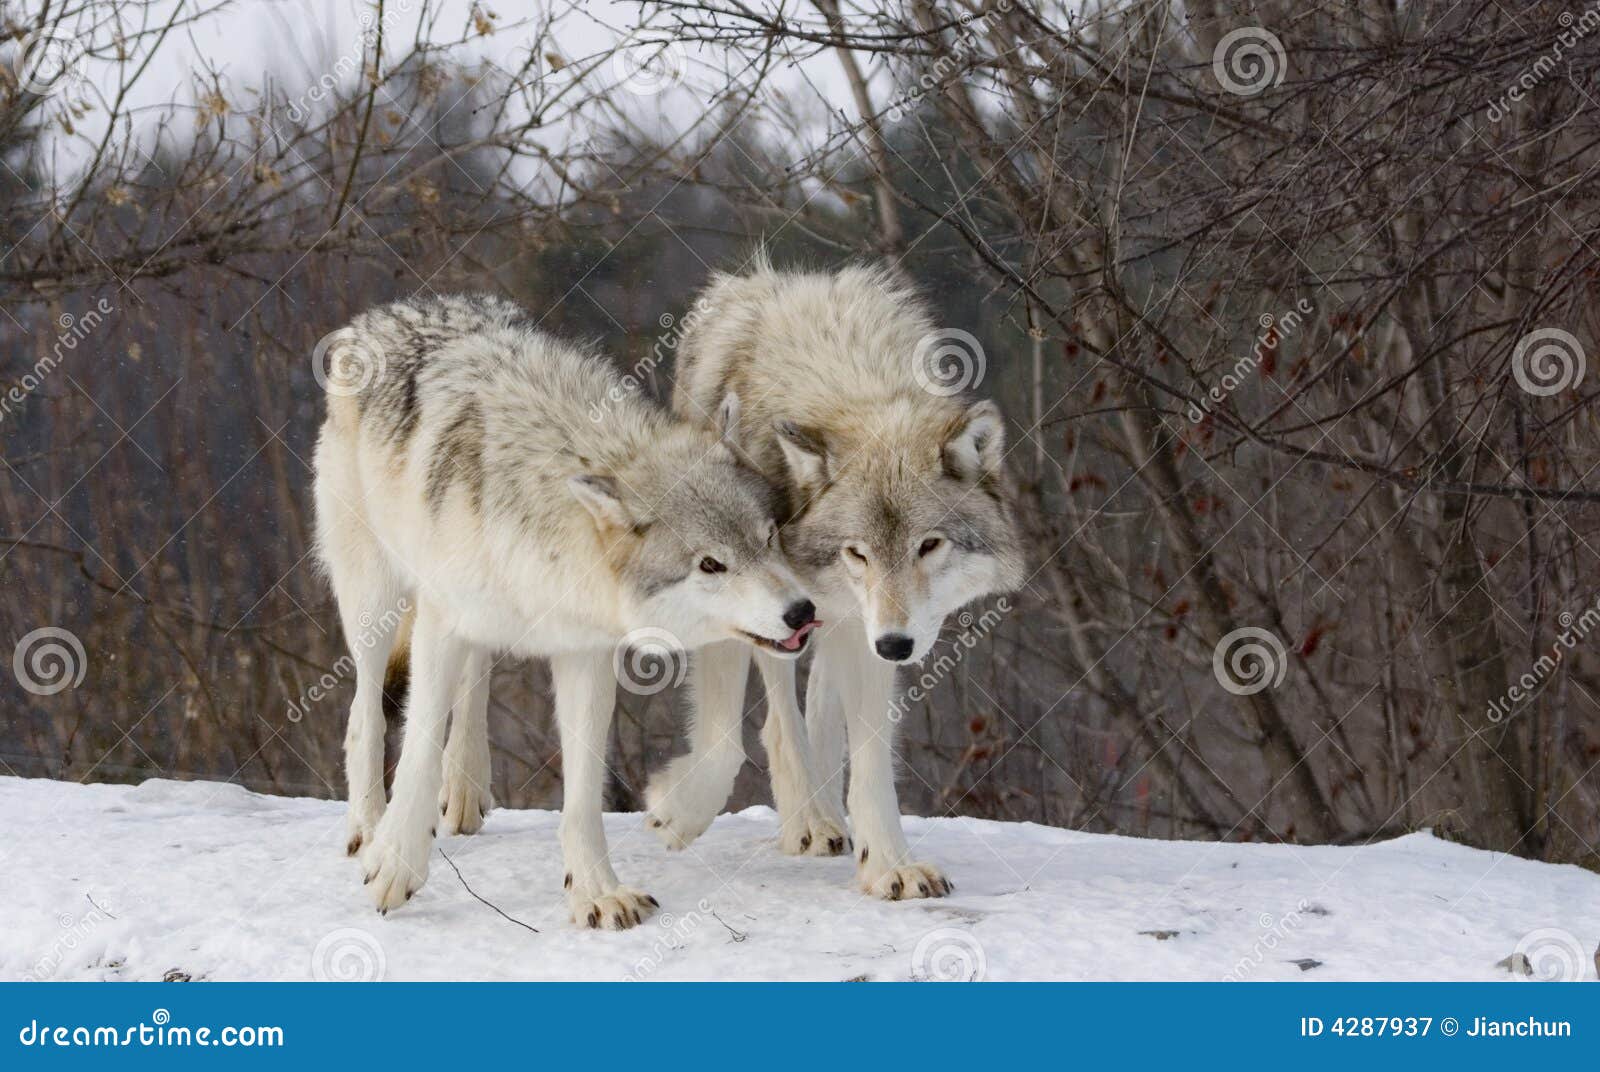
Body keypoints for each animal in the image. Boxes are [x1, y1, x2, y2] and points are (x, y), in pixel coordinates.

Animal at [312, 293, 817, 929]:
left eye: (768, 537)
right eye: (710, 564)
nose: (802, 611)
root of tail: (388, 312)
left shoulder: (582, 652)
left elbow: (581, 795)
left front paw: (597, 892)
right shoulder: (439, 624)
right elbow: (418, 751)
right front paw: (396, 864)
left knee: (472, 684)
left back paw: (465, 791)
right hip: (377, 600)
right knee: (365, 714)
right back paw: (368, 828)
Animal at [643, 261, 1024, 899]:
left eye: (928, 546)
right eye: (857, 552)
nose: (895, 644)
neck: (849, 380)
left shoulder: (865, 625)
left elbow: (869, 756)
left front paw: (890, 865)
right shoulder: (734, 595)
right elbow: (725, 741)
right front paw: (675, 810)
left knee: (820, 699)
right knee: (779, 716)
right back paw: (809, 818)